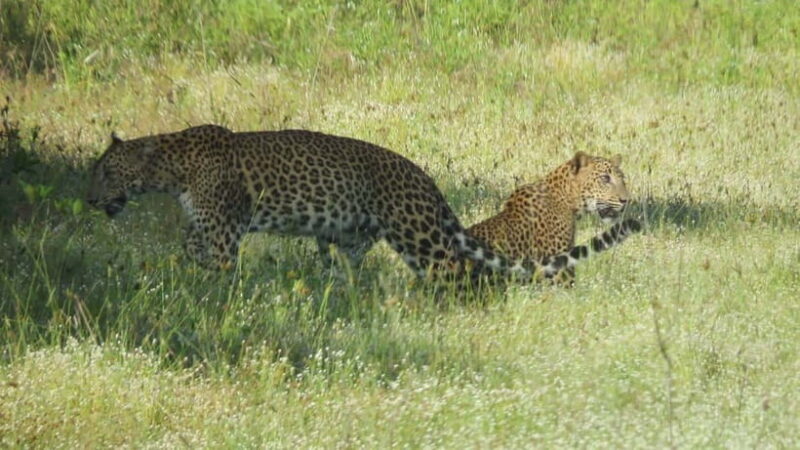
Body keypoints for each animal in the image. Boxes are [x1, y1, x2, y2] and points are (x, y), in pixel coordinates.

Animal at [86, 124, 604, 283]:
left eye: (107, 172)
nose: (89, 198)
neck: (170, 169)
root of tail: (420, 173)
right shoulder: (201, 225)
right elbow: (188, 249)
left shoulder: (222, 230)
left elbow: (218, 268)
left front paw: (214, 293)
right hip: (358, 235)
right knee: (352, 268)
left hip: (417, 234)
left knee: (452, 267)